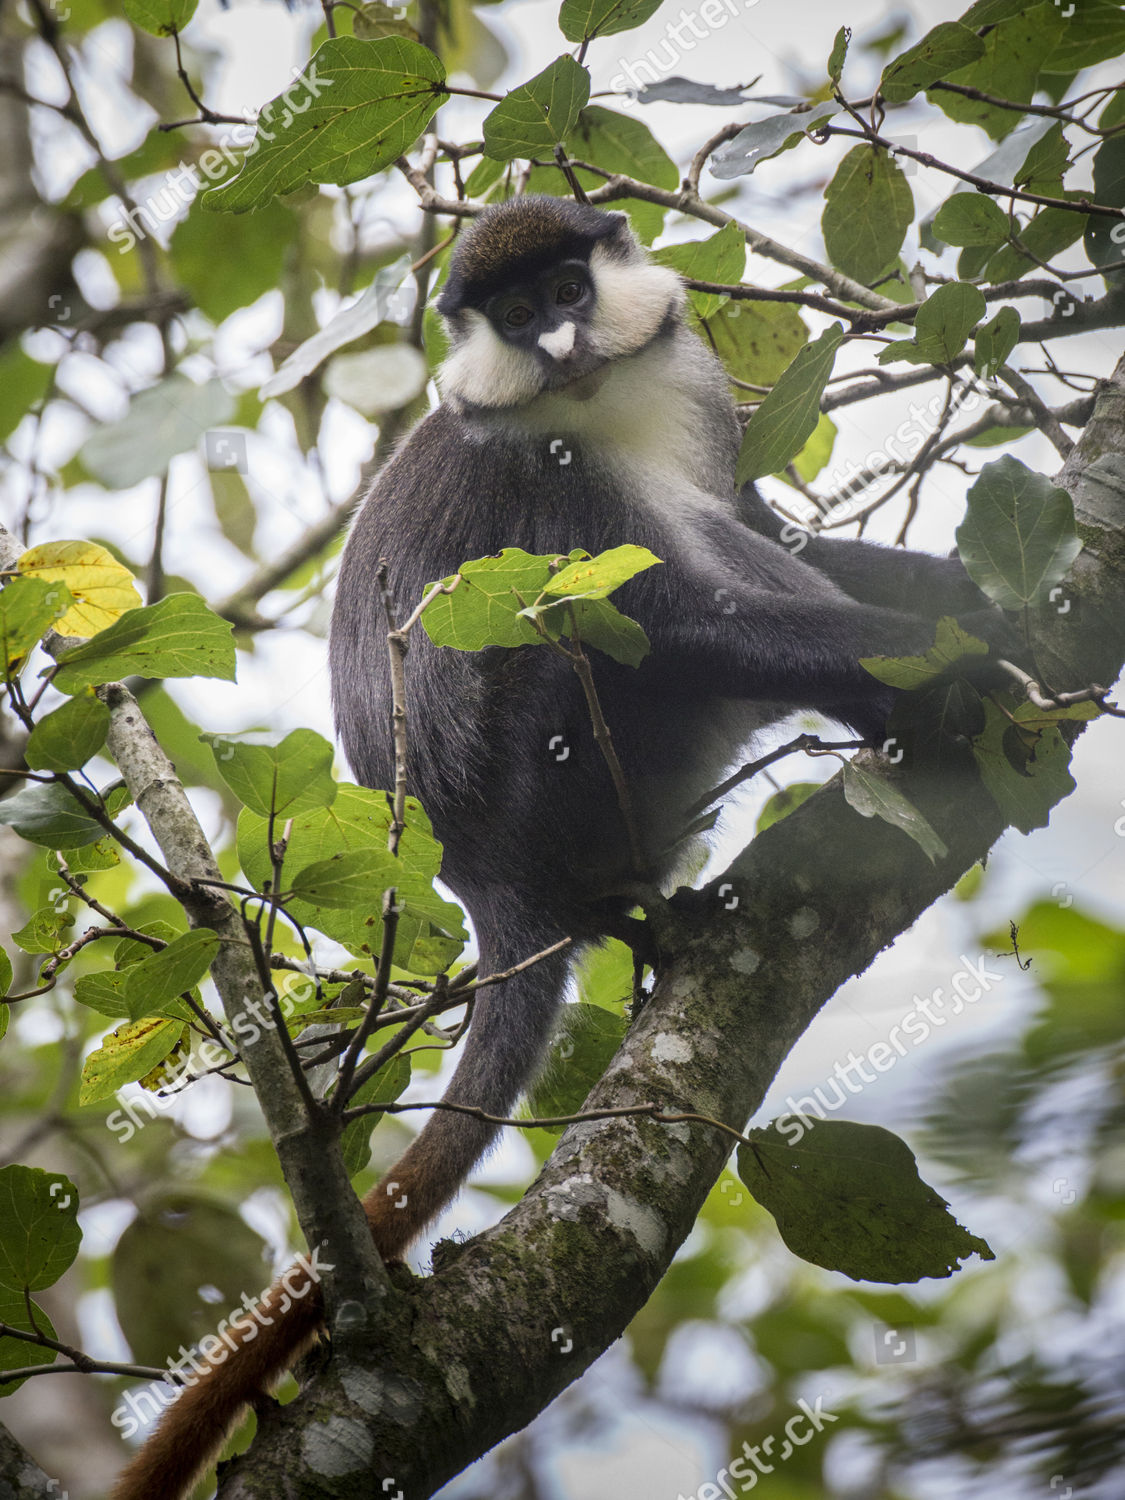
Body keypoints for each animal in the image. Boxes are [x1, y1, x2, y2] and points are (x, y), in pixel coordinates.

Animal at [110, 195, 1010, 1500]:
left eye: (571, 291)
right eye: (519, 311)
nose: (557, 342)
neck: (600, 408)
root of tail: (494, 888)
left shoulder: (700, 413)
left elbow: (773, 535)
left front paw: (973, 599)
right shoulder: (550, 484)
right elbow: (670, 617)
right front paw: (965, 660)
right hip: (554, 766)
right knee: (605, 633)